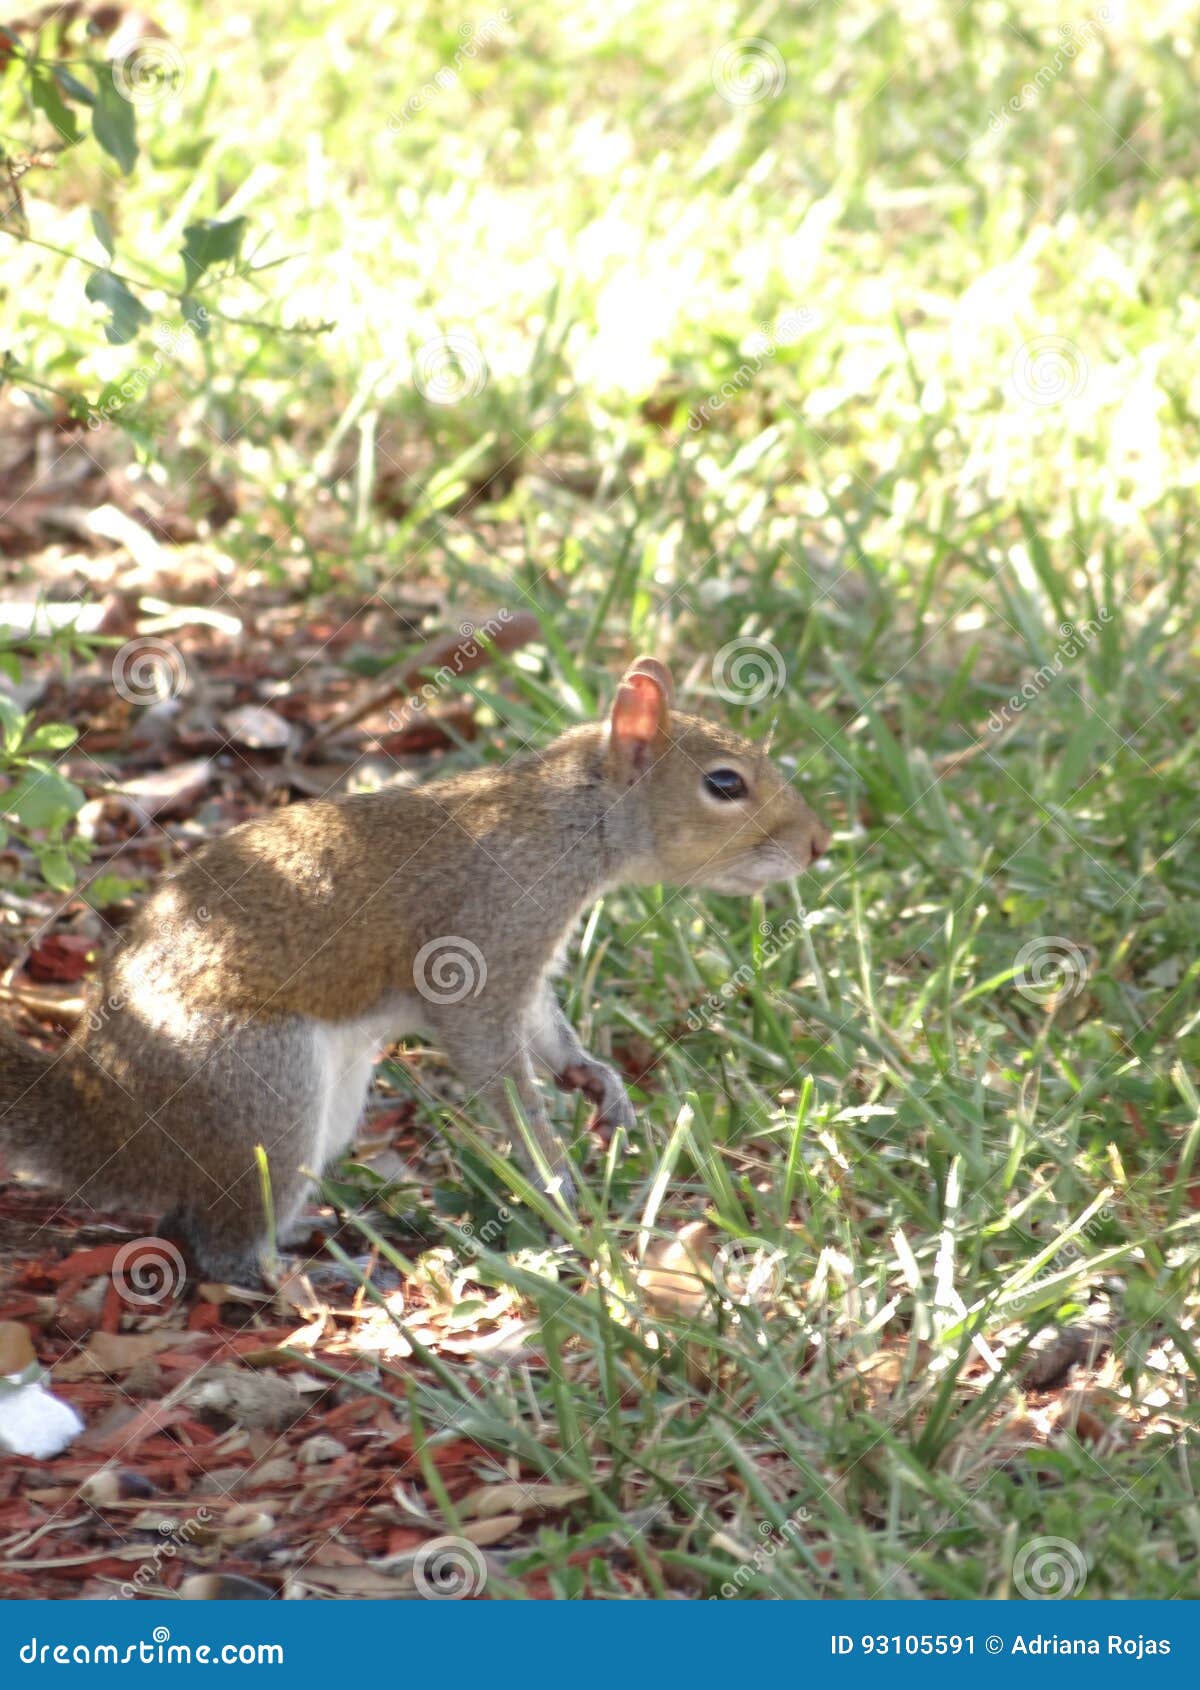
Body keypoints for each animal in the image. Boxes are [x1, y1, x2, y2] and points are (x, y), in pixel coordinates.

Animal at [0, 655, 829, 1282]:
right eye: (725, 784)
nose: (819, 843)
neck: (563, 821)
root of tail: (106, 1116)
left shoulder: (526, 966)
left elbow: (545, 1025)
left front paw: (596, 1080)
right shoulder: (483, 944)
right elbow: (495, 1063)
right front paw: (558, 1183)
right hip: (261, 1085)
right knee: (218, 1243)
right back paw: (298, 1274)